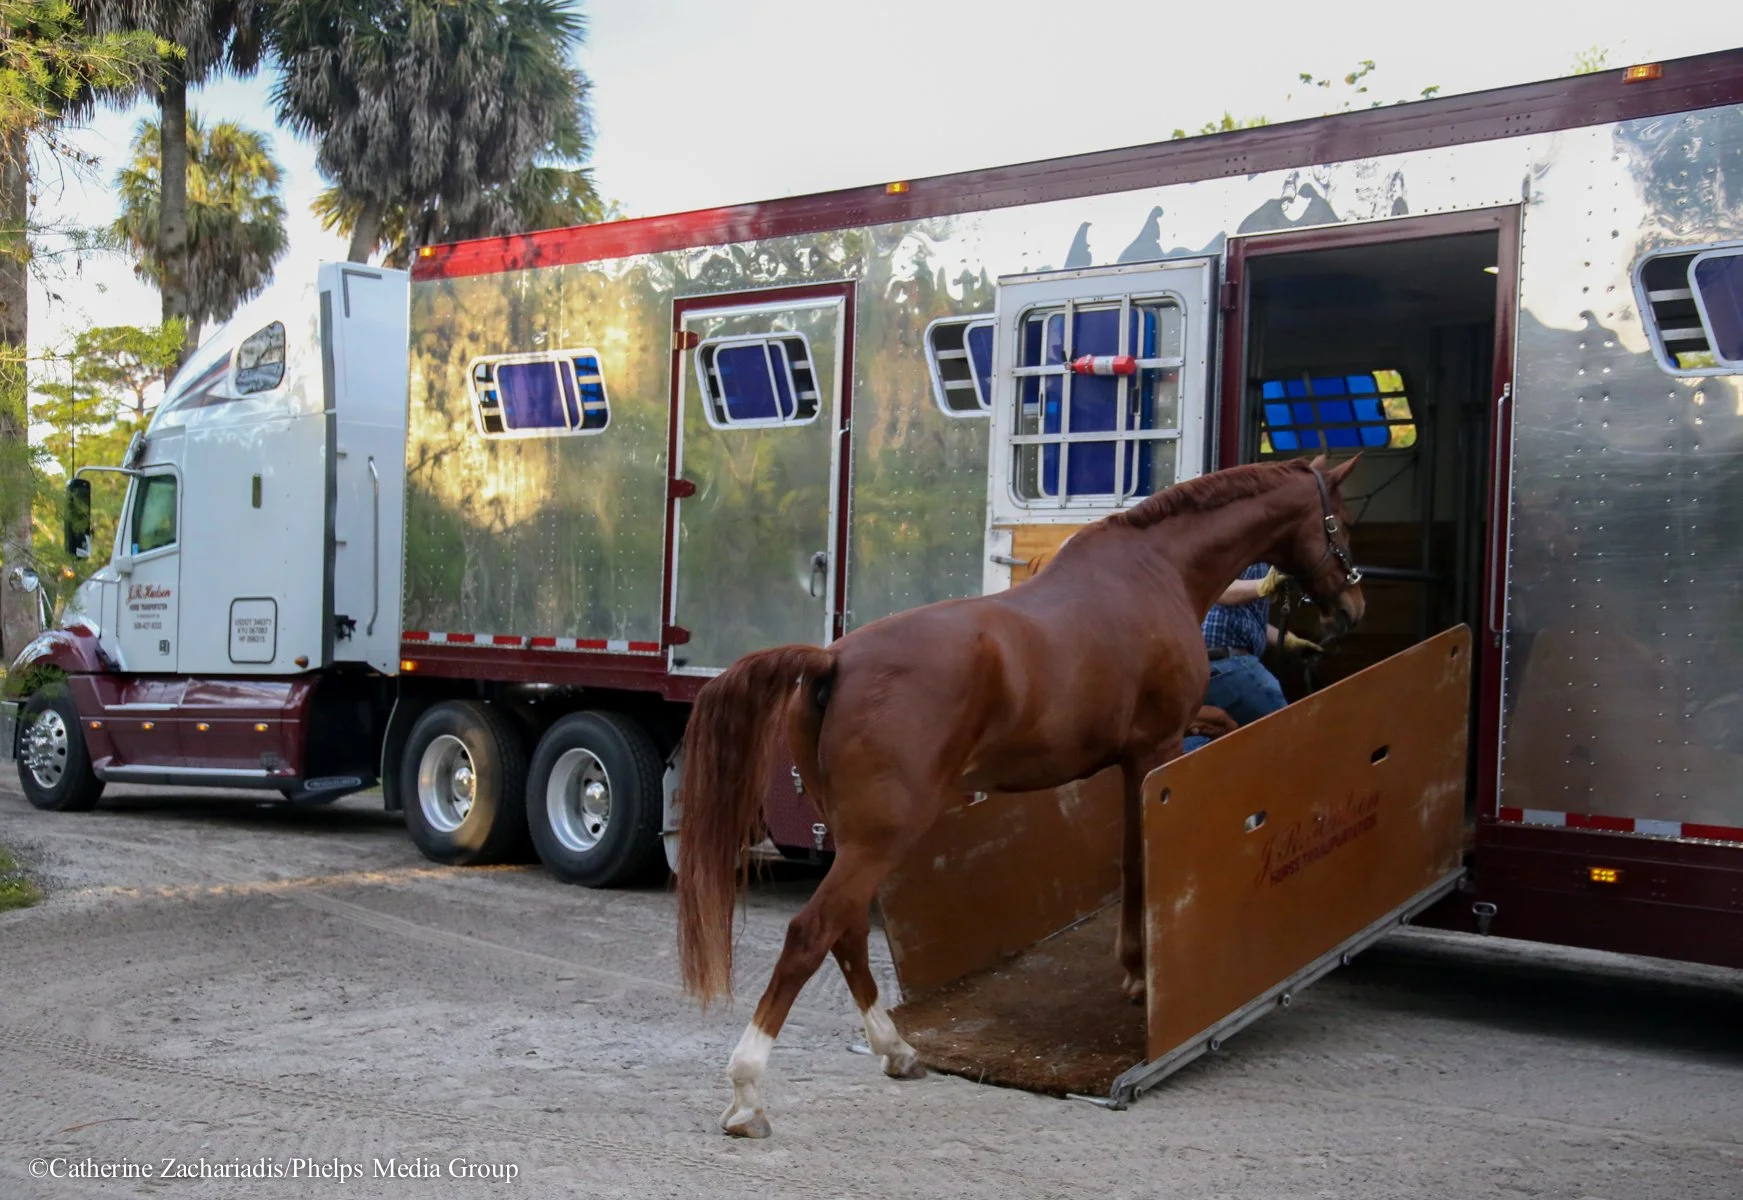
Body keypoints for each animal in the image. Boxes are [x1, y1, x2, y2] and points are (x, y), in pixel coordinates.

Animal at [675, 454, 1366, 1138]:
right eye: (1340, 520)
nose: (1352, 607)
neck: (1157, 571)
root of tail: (833, 661)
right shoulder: (1155, 748)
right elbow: (1140, 855)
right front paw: (1138, 972)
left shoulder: (1134, 756)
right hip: (878, 839)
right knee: (811, 934)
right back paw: (748, 1093)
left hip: (852, 838)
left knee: (844, 935)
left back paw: (897, 1050)